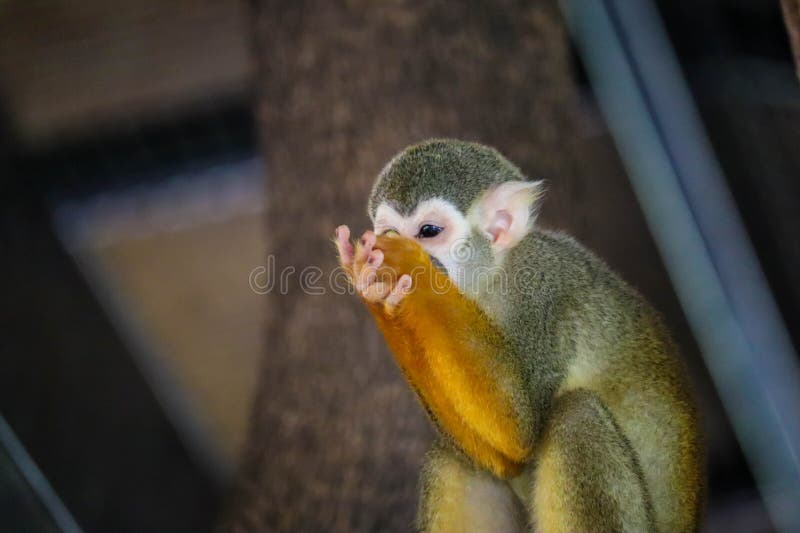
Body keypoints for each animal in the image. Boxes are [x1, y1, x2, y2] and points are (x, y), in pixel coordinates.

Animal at [334, 139, 704, 533]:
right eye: (389, 229)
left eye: (429, 231)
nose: (385, 247)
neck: (492, 276)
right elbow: (500, 458)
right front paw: (373, 285)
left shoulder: (539, 290)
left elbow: (519, 428)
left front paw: (404, 265)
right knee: (454, 457)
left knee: (577, 415)